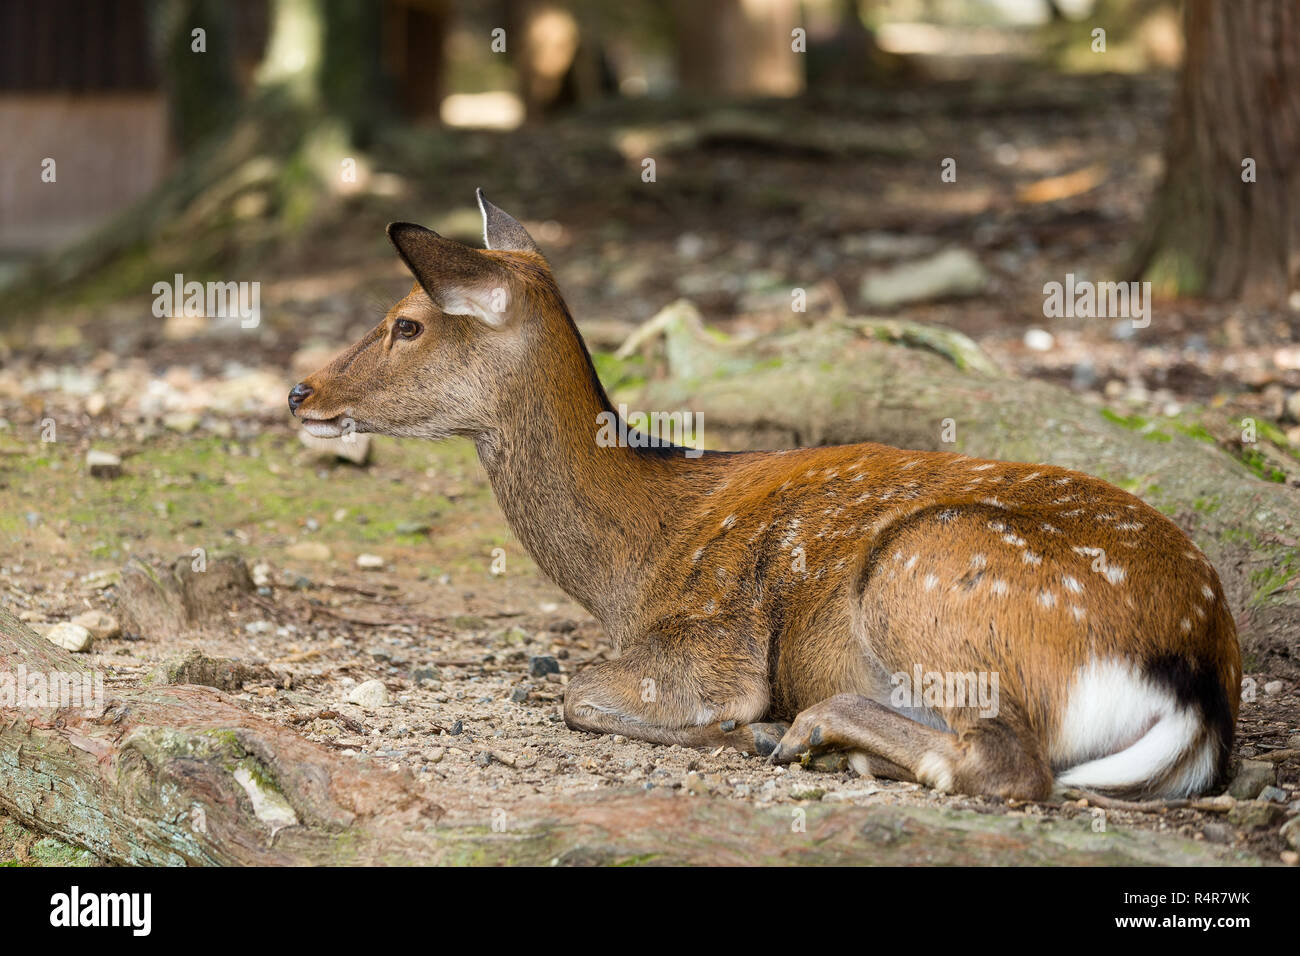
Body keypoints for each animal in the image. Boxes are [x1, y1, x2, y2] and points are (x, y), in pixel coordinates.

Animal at [289, 190, 1241, 801]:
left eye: (407, 322)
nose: (299, 391)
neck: (631, 565)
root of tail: (1196, 682)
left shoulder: (711, 642)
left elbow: (579, 692)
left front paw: (739, 730)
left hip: (930, 570)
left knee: (1007, 766)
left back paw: (809, 734)